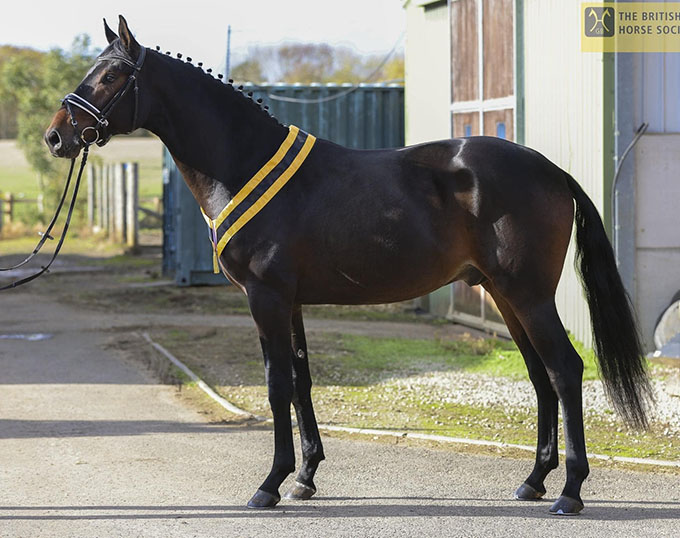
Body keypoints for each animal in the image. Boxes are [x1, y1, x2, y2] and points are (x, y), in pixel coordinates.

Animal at [44, 16, 652, 515]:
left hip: (528, 294)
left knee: (565, 369)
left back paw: (570, 492)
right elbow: (302, 380)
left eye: (108, 76)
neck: (243, 163)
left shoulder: (265, 297)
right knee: (540, 374)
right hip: (505, 296)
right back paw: (533, 481)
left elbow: (276, 384)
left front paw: (269, 484)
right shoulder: (289, 302)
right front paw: (305, 477)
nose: (57, 136)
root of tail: (551, 169)